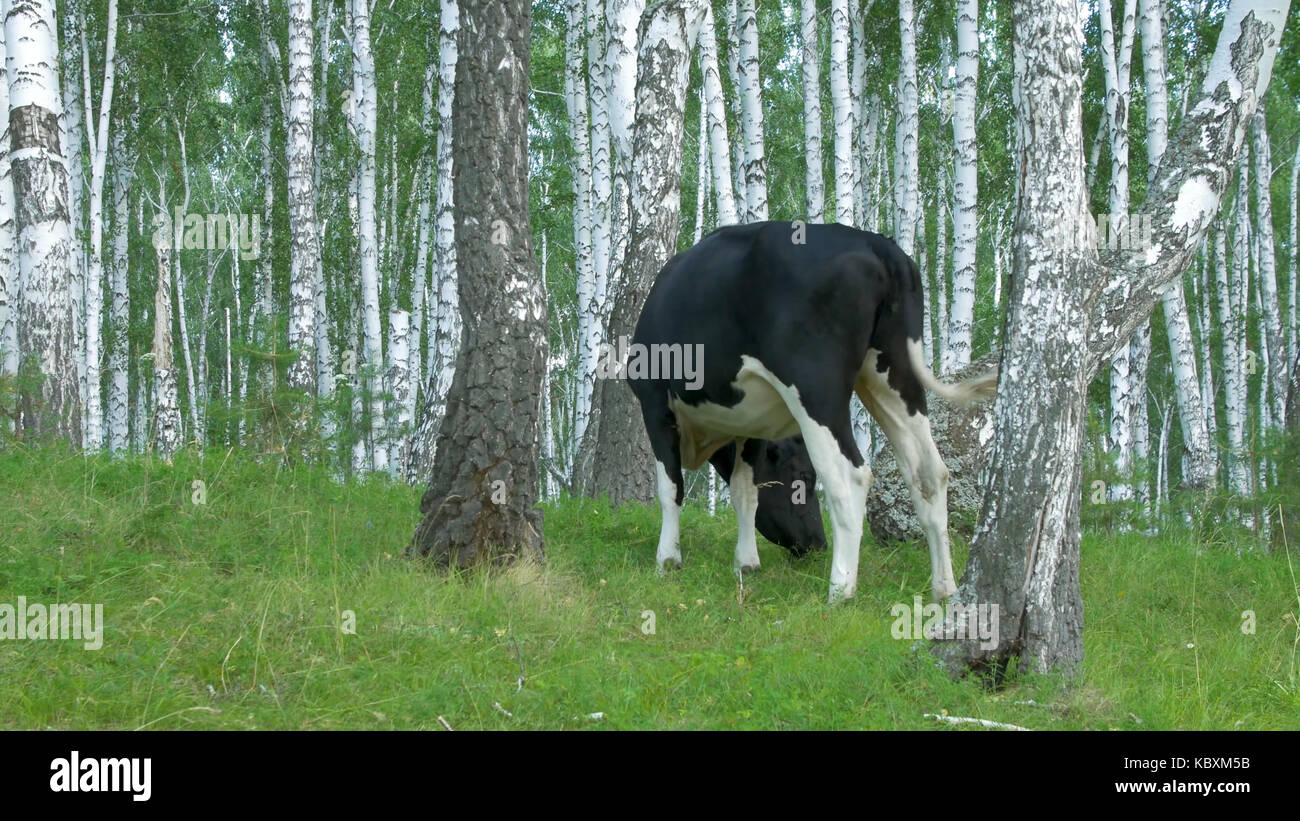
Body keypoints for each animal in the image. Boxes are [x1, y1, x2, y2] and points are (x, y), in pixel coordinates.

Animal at [628, 221, 997, 603]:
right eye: (801, 477)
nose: (818, 544)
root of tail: (876, 243)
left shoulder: (654, 404)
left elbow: (671, 488)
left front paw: (667, 560)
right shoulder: (750, 424)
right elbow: (746, 493)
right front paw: (746, 563)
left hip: (816, 390)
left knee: (851, 475)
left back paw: (841, 590)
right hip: (895, 374)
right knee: (929, 472)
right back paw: (944, 588)